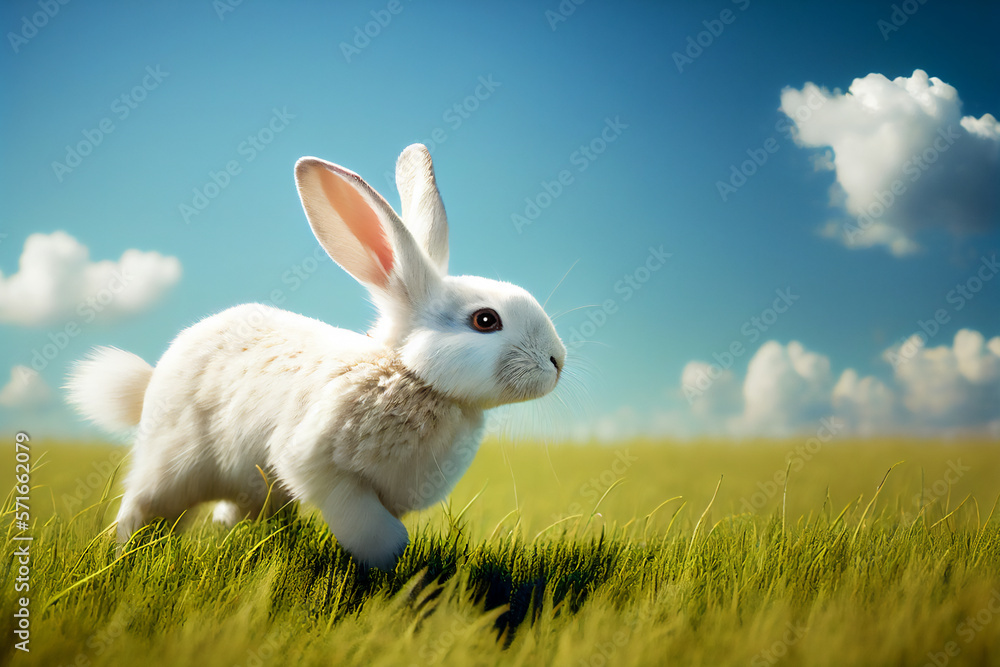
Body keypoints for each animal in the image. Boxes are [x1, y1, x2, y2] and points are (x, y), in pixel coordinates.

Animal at [66, 144, 566, 570]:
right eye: (485, 320)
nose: (557, 361)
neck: (409, 375)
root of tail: (151, 381)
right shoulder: (315, 463)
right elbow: (371, 527)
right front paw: (388, 561)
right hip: (173, 465)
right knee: (143, 508)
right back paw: (125, 556)